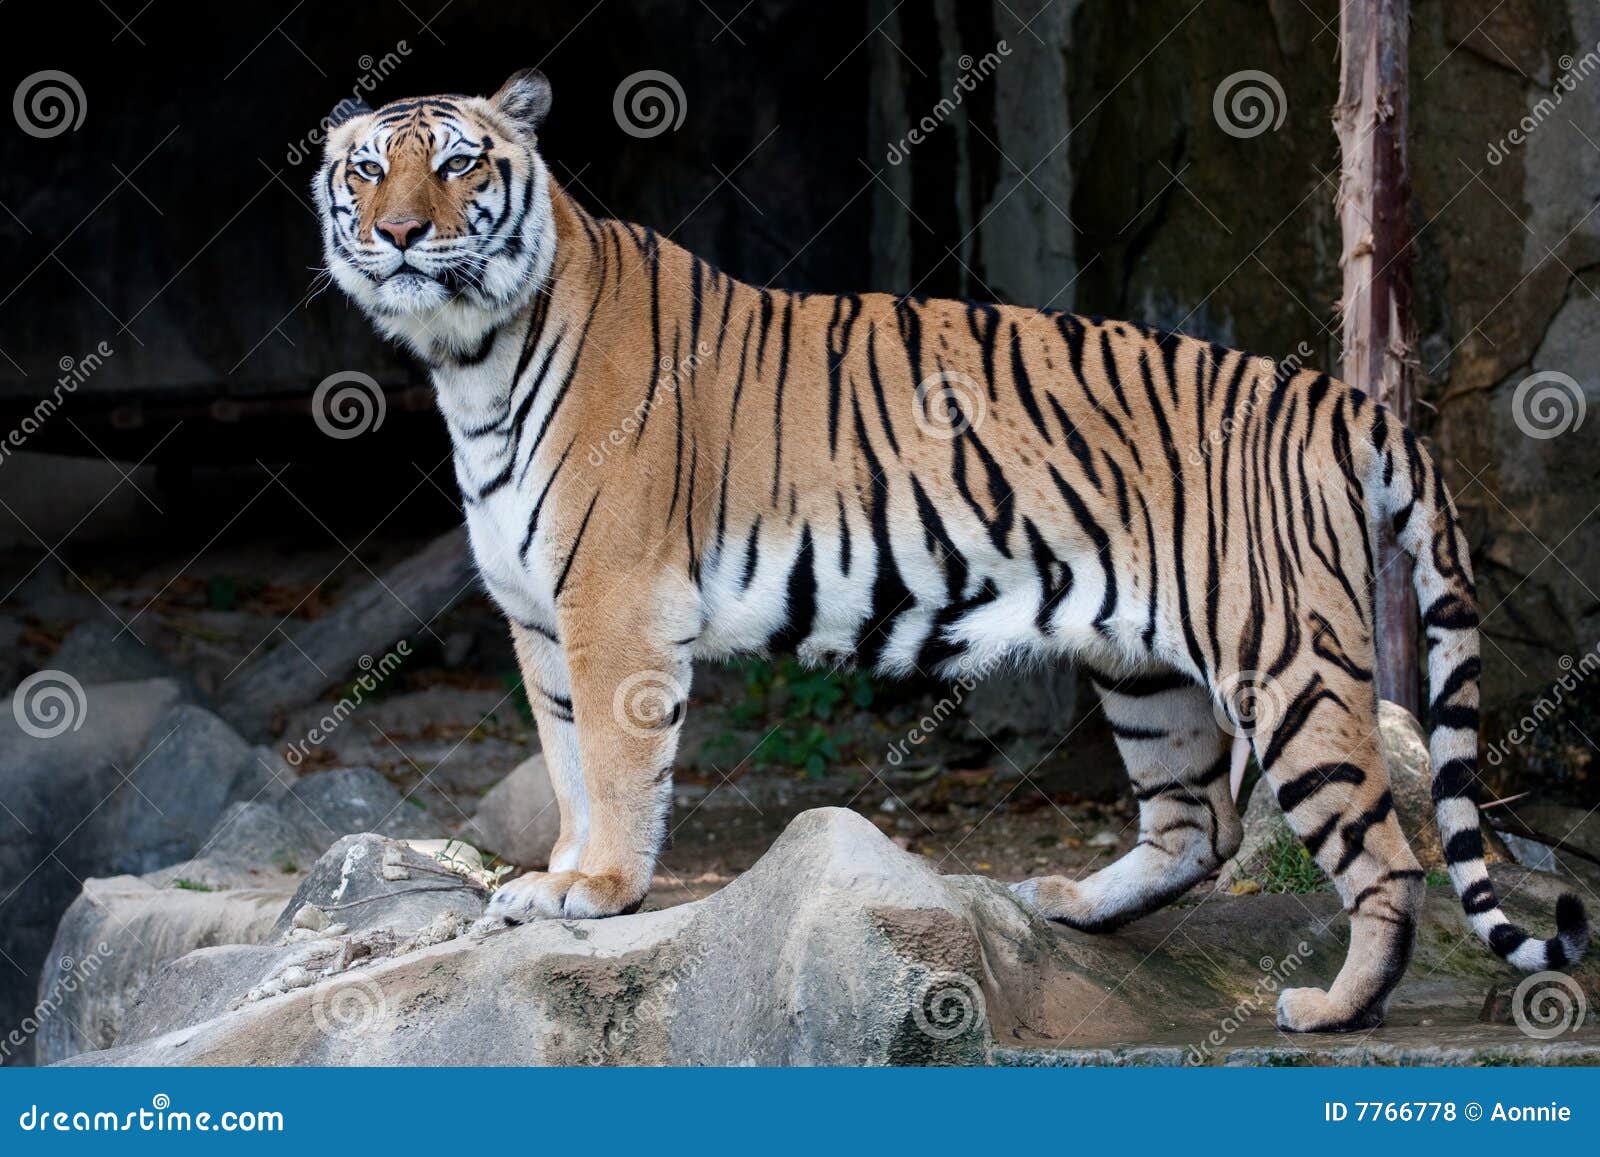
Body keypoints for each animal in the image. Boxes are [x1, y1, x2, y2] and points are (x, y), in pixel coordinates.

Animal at [314, 68, 1587, 1032]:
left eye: (459, 165)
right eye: (366, 171)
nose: (399, 234)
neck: (468, 356)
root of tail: (1339, 395)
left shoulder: (611, 602)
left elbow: (619, 767)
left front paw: (601, 890)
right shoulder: (538, 614)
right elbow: (568, 760)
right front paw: (553, 881)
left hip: (1281, 657)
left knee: (1383, 849)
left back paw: (1331, 1007)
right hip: (1143, 664)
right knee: (1198, 824)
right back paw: (1068, 903)